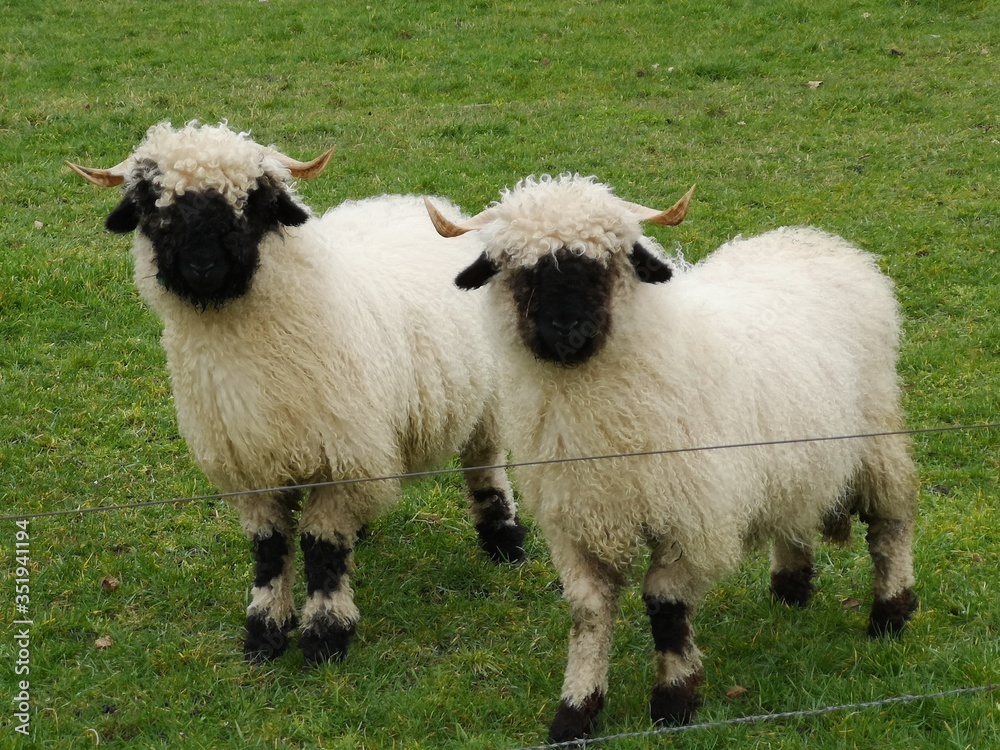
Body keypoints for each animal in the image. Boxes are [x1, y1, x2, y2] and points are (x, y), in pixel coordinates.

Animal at [68, 121, 526, 666]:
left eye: (254, 202)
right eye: (152, 207)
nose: (203, 267)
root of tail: (412, 202)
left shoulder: (339, 460)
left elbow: (321, 548)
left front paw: (326, 634)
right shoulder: (251, 468)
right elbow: (270, 548)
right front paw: (265, 630)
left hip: (488, 404)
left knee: (486, 469)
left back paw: (504, 543)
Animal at [425, 174, 918, 742]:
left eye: (608, 263)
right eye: (519, 269)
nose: (567, 331)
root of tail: (818, 241)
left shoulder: (689, 519)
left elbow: (666, 609)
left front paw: (673, 702)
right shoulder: (576, 522)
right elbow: (589, 615)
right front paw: (575, 712)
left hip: (877, 438)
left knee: (891, 522)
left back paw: (890, 615)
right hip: (792, 458)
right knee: (793, 513)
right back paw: (790, 590)